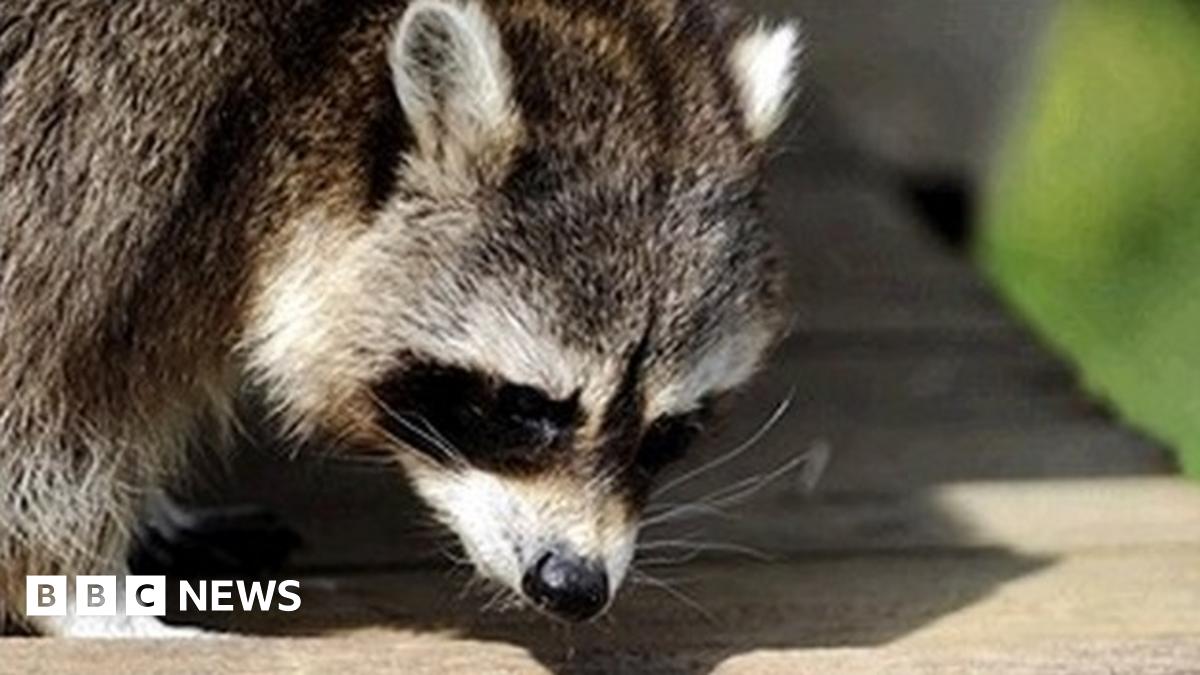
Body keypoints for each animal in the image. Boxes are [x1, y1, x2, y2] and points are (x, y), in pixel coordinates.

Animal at [0, 0, 798, 636]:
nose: (573, 583)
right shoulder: (106, 100)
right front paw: (81, 592)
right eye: (525, 405)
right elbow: (38, 370)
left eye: (670, 432)